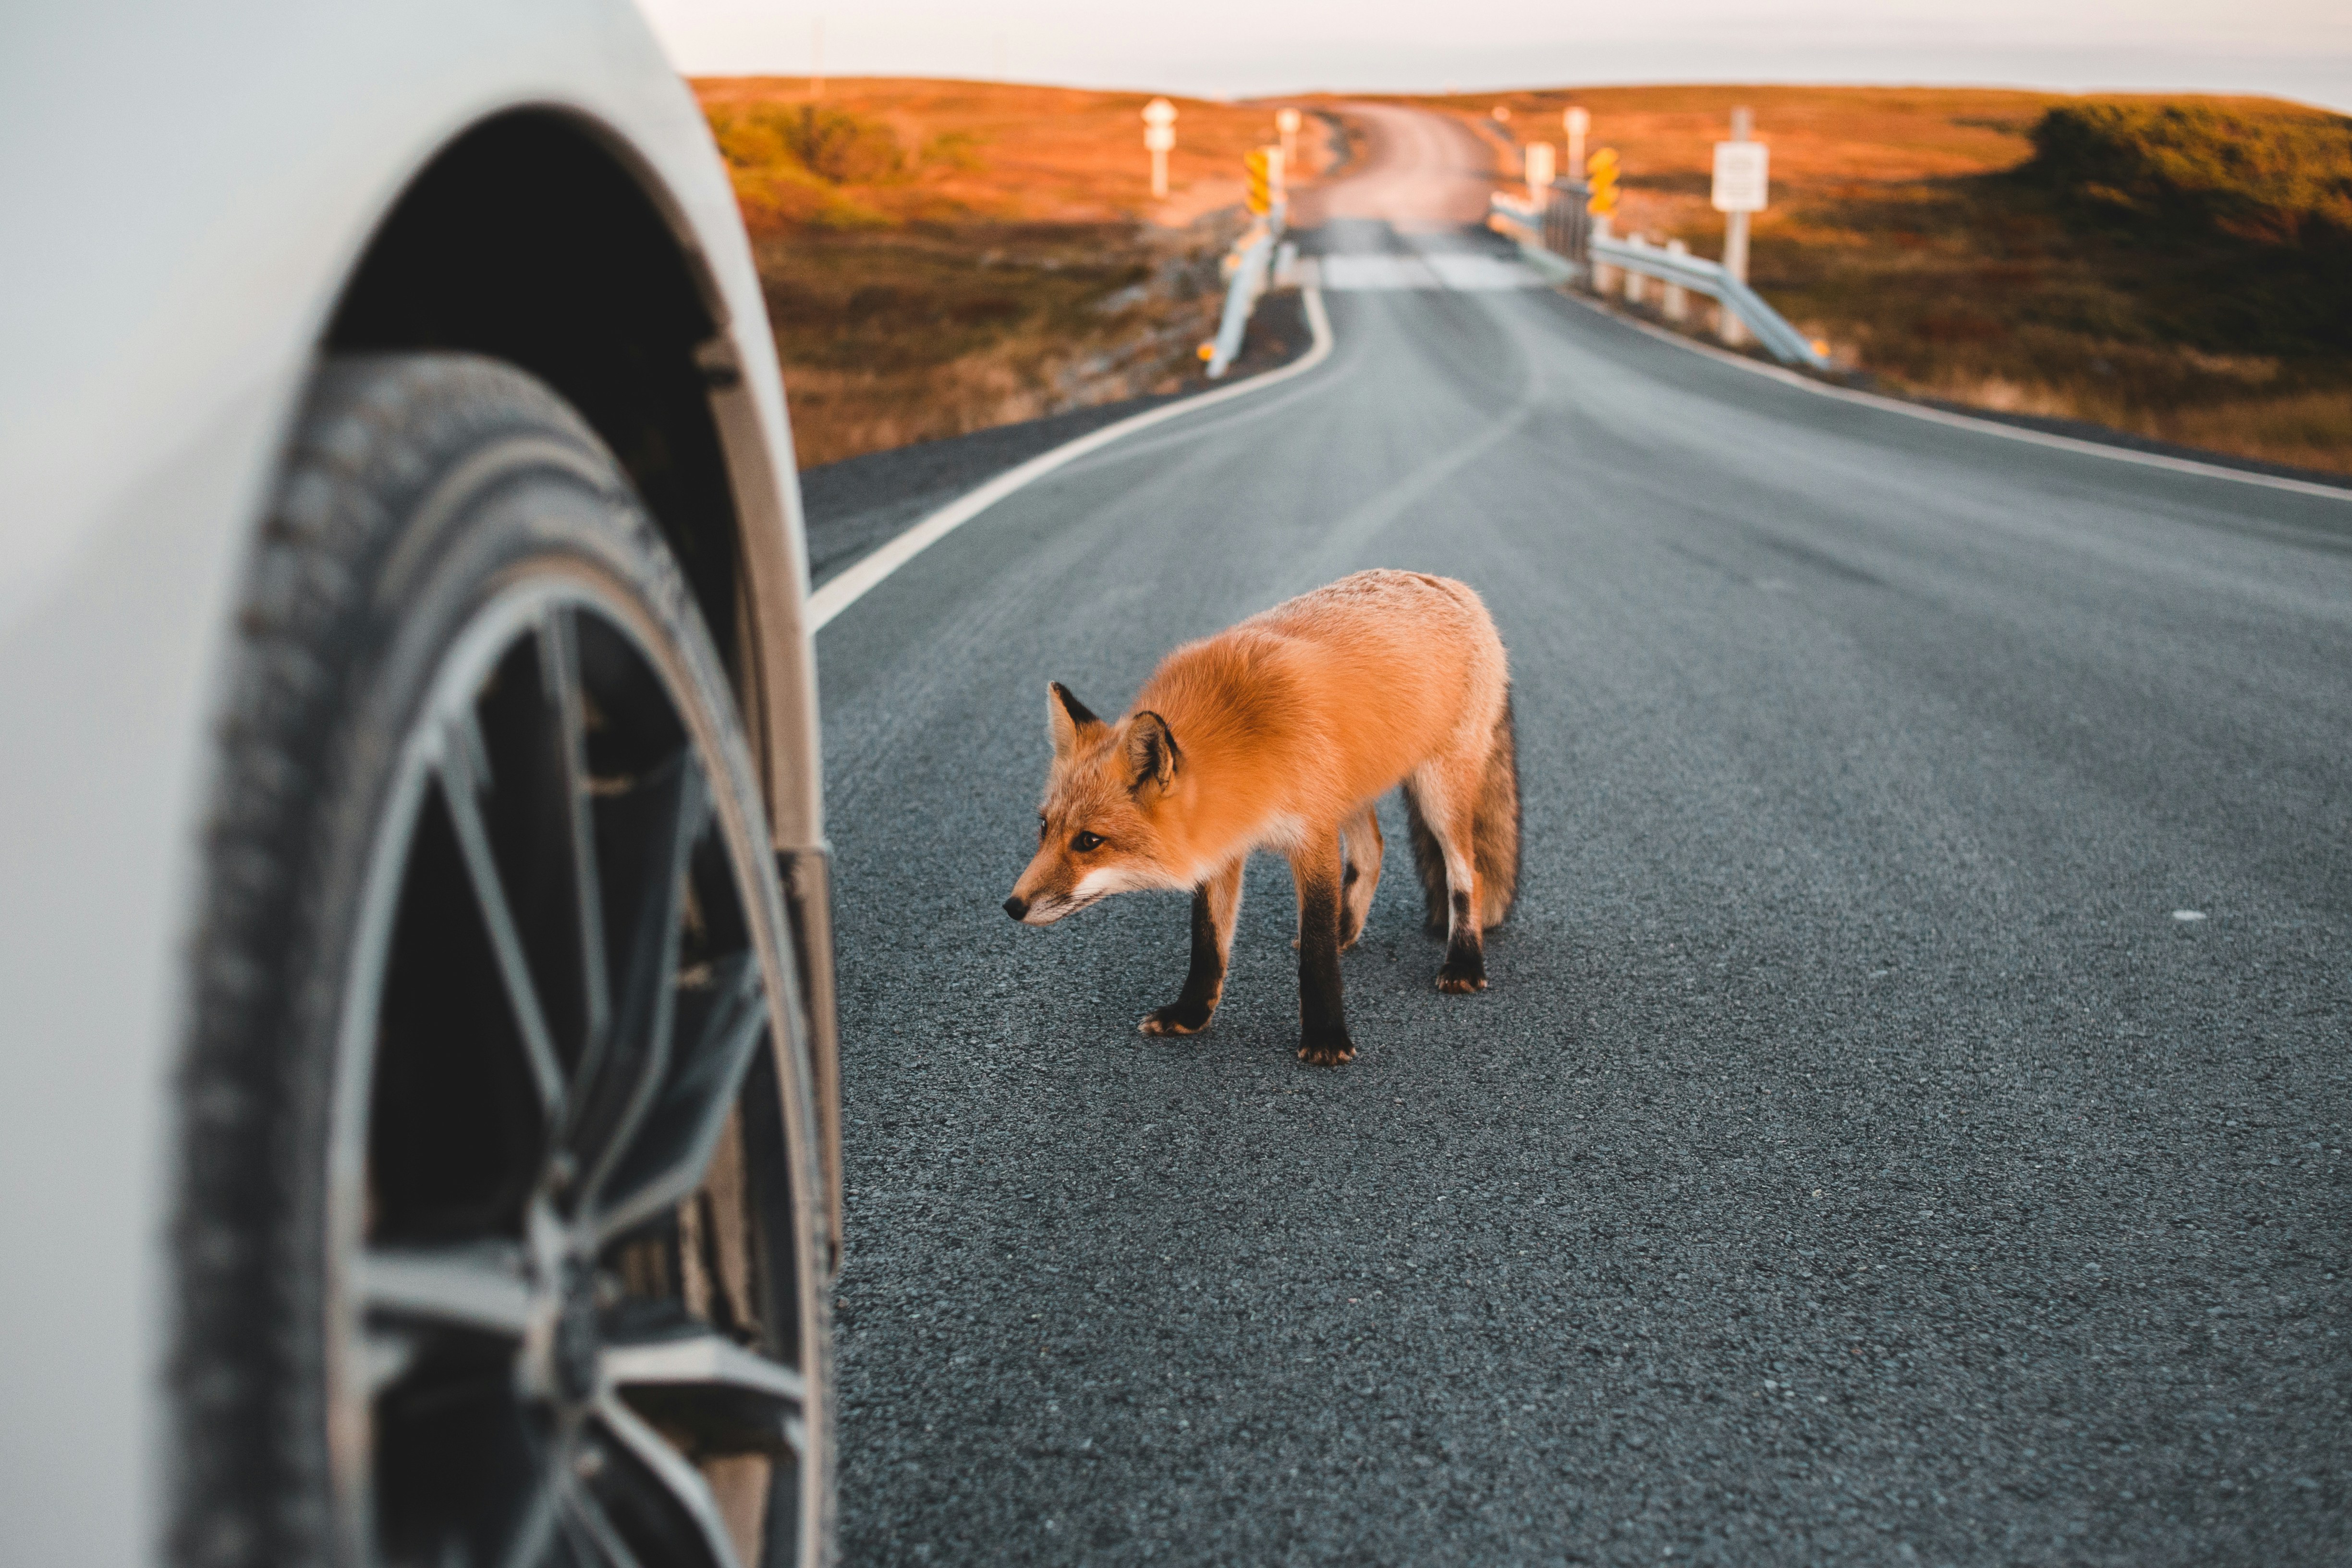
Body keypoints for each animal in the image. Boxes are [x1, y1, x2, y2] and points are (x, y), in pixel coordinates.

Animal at [1001, 569, 1520, 1066]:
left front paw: (1325, 1036)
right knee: (1373, 851)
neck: (1246, 743)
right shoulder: (1221, 847)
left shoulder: (1311, 836)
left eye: (1089, 841)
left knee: (1466, 873)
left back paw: (1464, 962)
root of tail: (1446, 583)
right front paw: (1190, 1014)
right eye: (1045, 829)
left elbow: (1314, 952)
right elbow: (1208, 944)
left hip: (1438, 791)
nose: (1012, 906)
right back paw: (1346, 932)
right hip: (1351, 792)